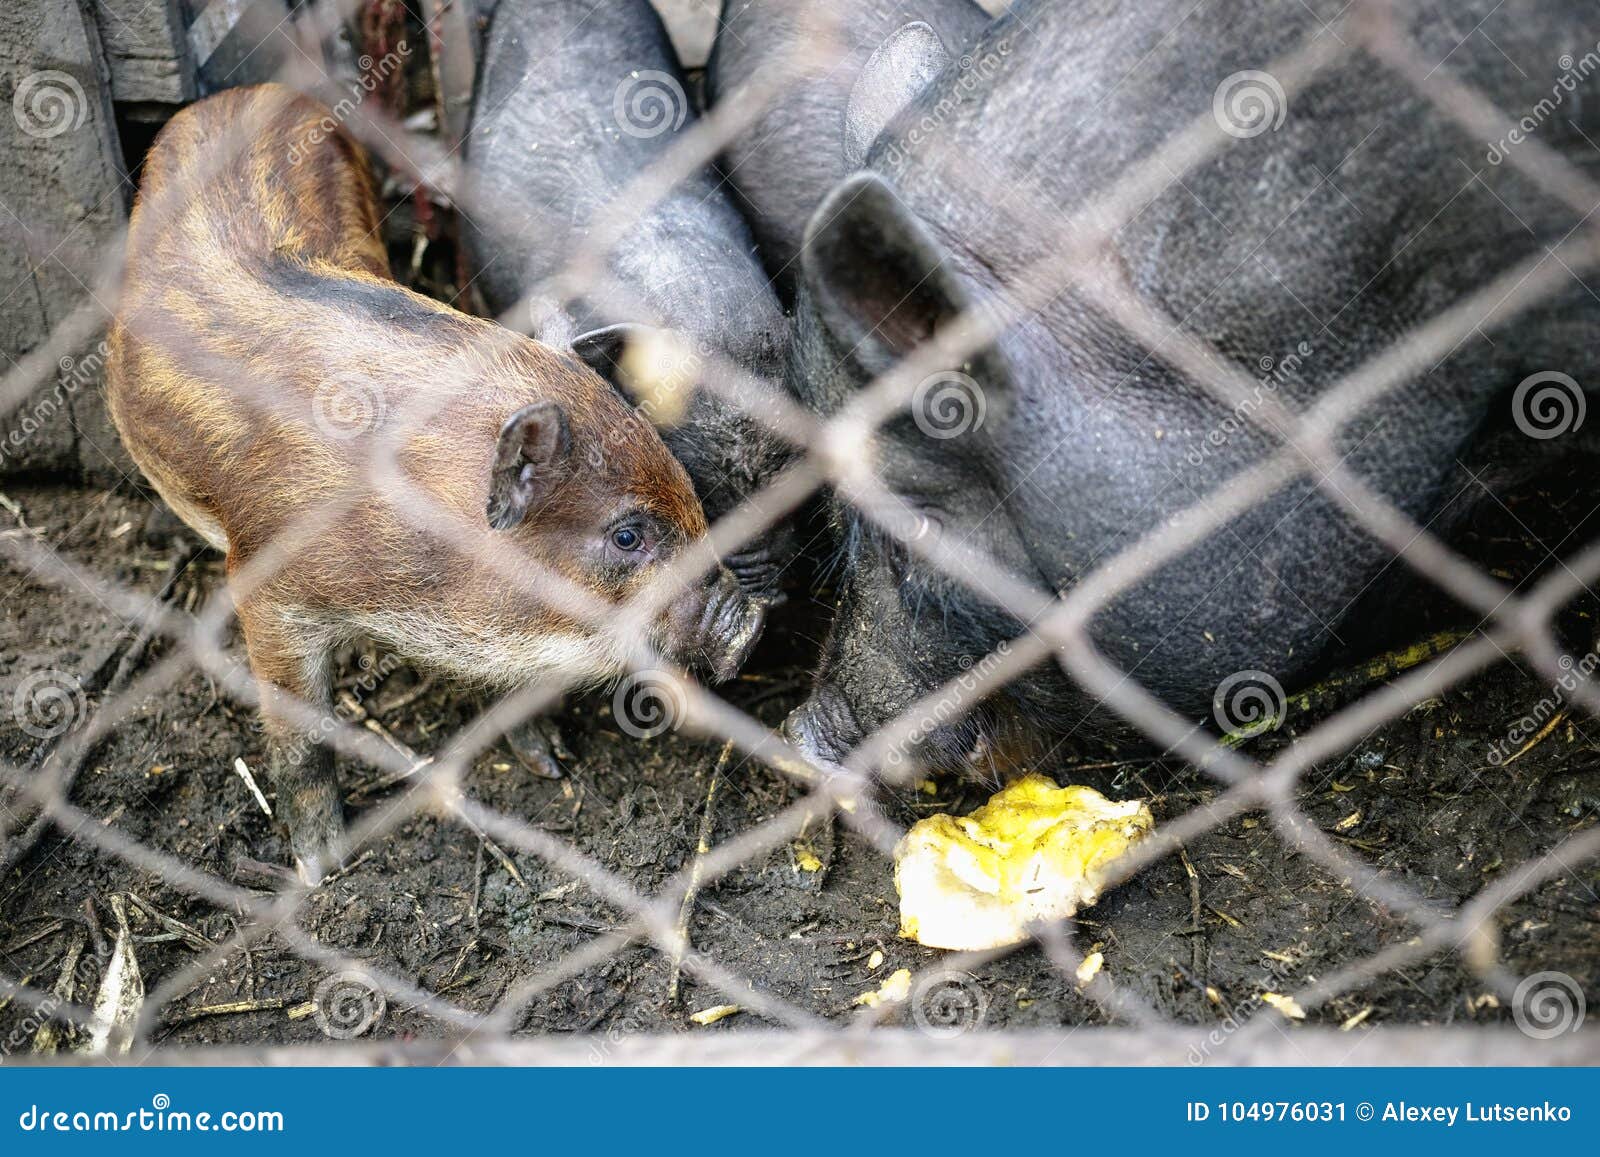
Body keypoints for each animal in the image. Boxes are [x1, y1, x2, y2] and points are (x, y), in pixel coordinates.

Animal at [106, 84, 759, 882]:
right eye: (628, 535)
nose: (749, 624)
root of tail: (249, 92)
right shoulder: (266, 583)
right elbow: (302, 734)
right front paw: (321, 869)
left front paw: (553, 764)